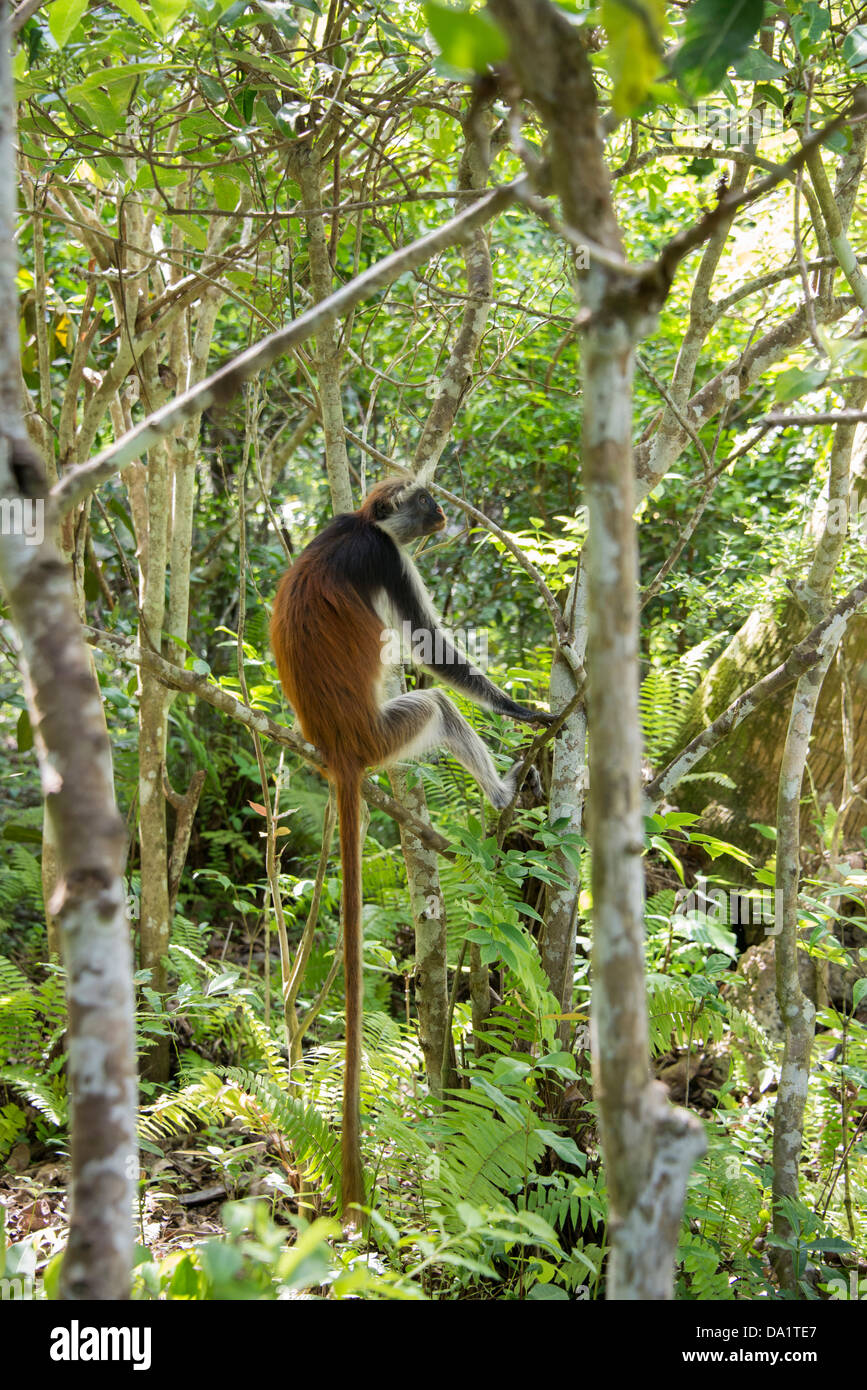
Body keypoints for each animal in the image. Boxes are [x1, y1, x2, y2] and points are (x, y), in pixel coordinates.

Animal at [270, 477, 552, 1222]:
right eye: (425, 504)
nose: (445, 513)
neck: (358, 523)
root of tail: (341, 749)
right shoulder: (385, 556)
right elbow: (433, 655)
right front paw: (520, 710)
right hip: (385, 733)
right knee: (435, 705)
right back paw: (505, 795)